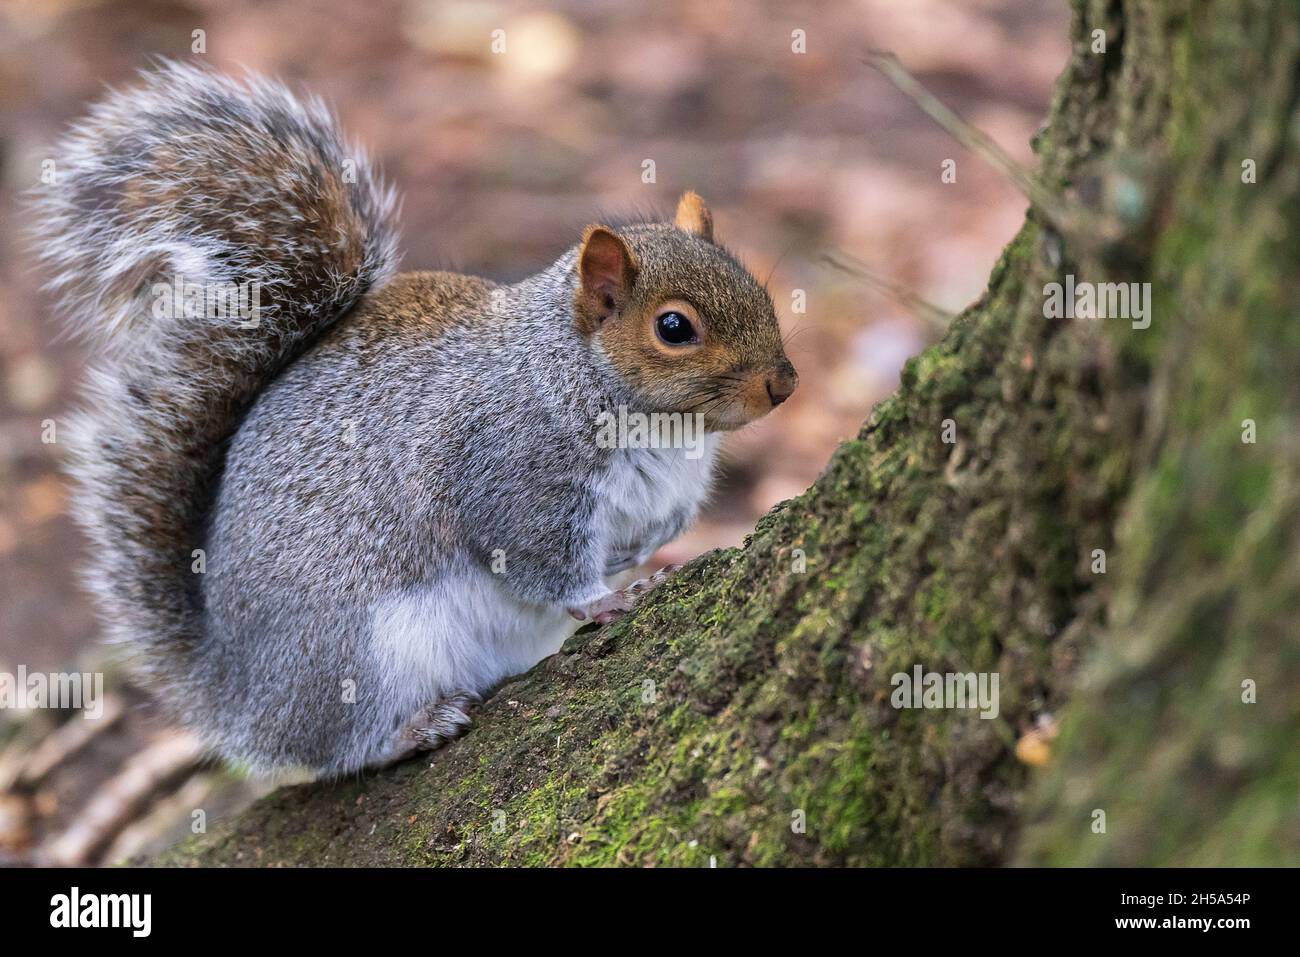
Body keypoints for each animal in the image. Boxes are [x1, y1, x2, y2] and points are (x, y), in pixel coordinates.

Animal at [33, 62, 798, 775]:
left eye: (757, 287)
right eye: (674, 327)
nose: (784, 384)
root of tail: (236, 688)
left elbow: (657, 526)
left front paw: (650, 558)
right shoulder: (513, 473)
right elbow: (538, 559)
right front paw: (604, 600)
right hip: (361, 652)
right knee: (340, 746)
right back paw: (411, 729)